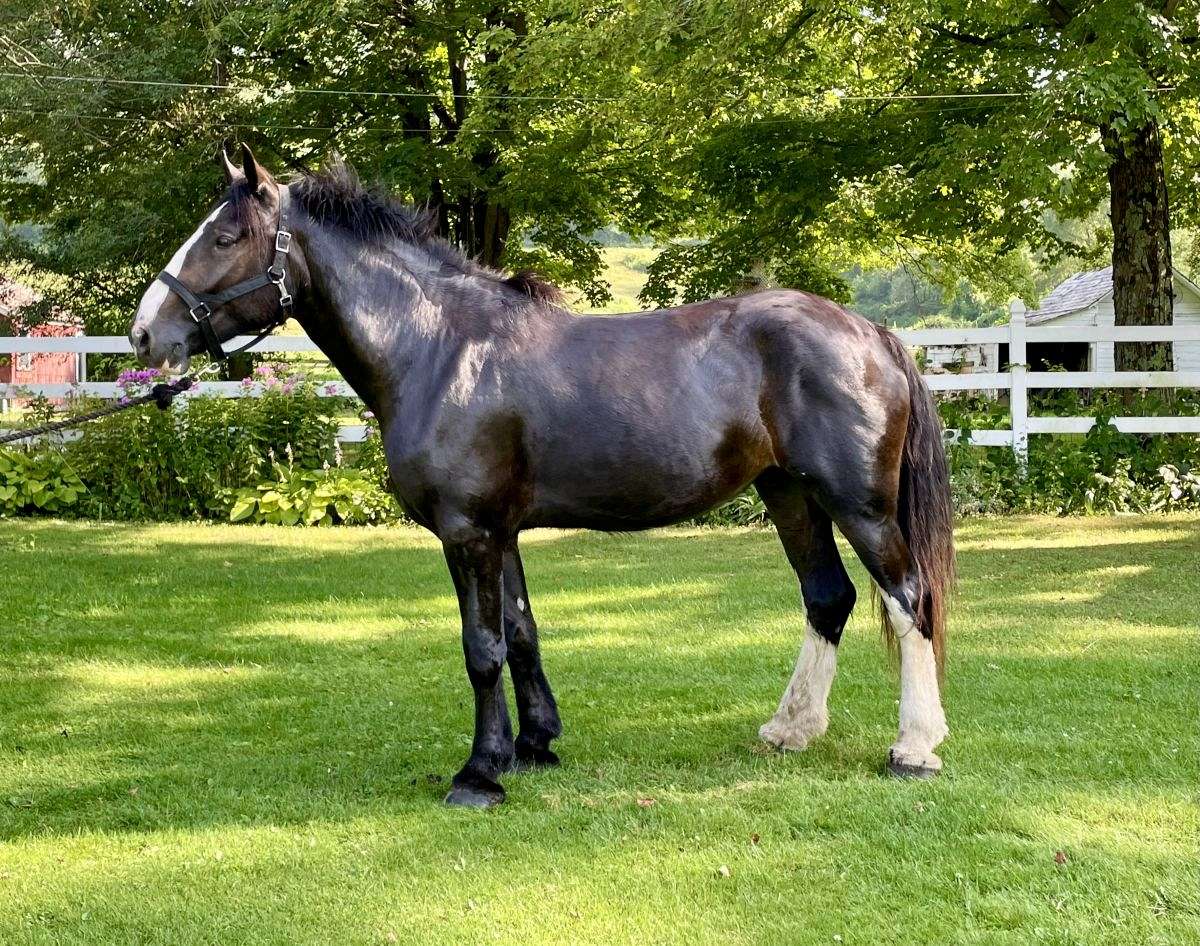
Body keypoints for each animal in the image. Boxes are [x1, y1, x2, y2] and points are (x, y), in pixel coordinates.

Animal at [129, 145, 956, 808]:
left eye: (226, 236)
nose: (144, 334)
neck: (439, 347)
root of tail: (871, 331)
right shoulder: (503, 531)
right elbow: (523, 633)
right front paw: (534, 747)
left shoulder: (468, 532)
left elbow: (482, 648)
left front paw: (479, 774)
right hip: (789, 493)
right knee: (829, 598)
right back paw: (791, 730)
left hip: (860, 504)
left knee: (909, 600)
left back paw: (913, 749)